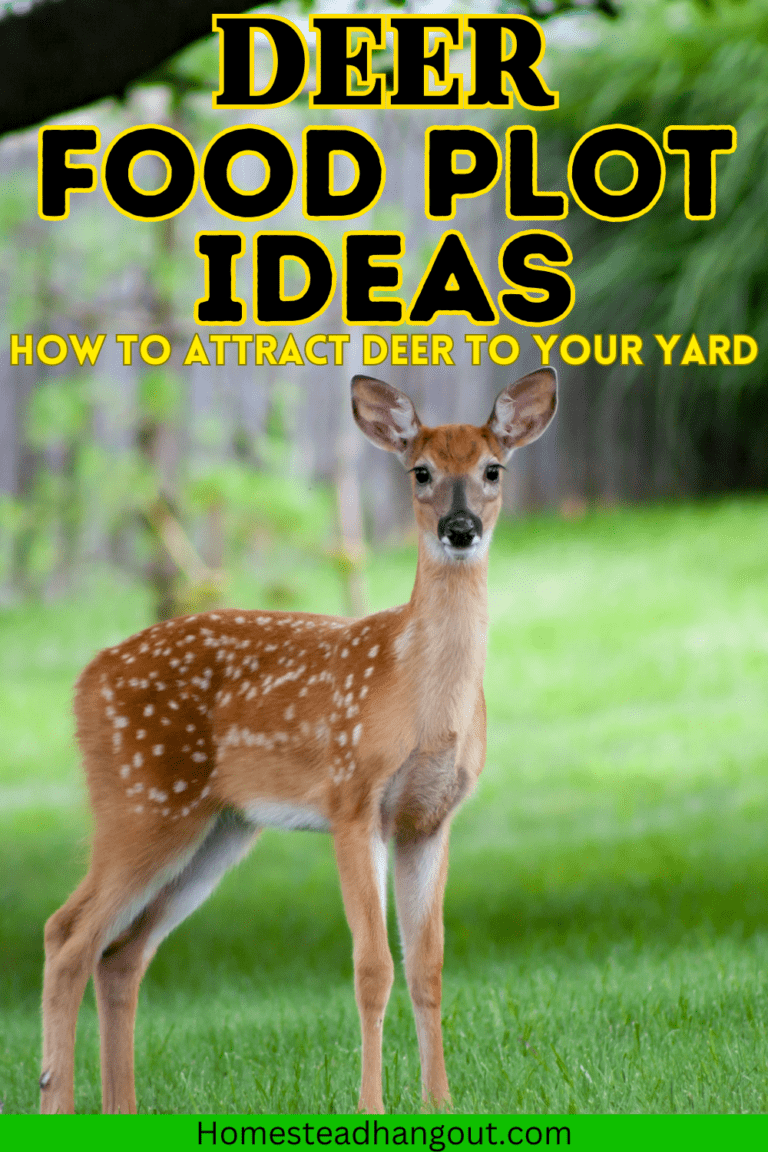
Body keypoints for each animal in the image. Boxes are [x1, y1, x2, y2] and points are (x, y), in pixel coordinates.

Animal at [40, 367, 557, 1115]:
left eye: (493, 470)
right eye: (421, 472)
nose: (459, 530)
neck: (420, 695)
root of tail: (85, 681)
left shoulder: (429, 819)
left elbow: (427, 965)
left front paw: (441, 1107)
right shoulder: (352, 798)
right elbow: (373, 965)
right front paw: (371, 1108)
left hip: (217, 831)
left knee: (122, 952)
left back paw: (121, 1110)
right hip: (142, 801)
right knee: (68, 933)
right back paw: (57, 1101)